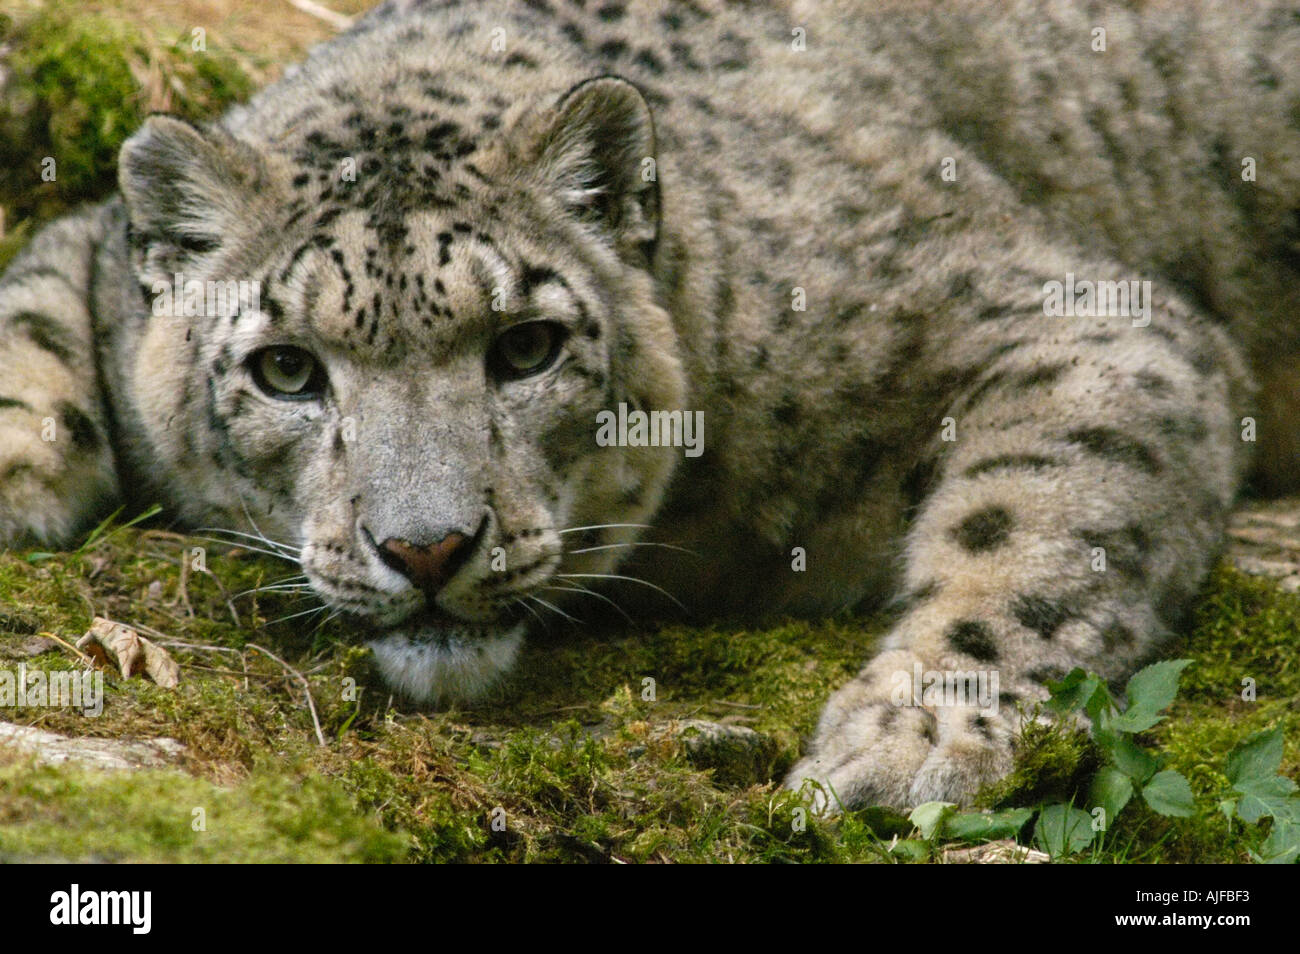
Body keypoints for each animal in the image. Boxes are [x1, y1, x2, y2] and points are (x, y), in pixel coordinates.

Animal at [1, 0, 1298, 811]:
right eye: (285, 370)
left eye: (525, 347)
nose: (426, 548)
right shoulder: (94, 257)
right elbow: (28, 313)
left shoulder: (1074, 316)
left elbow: (1034, 524)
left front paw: (913, 736)